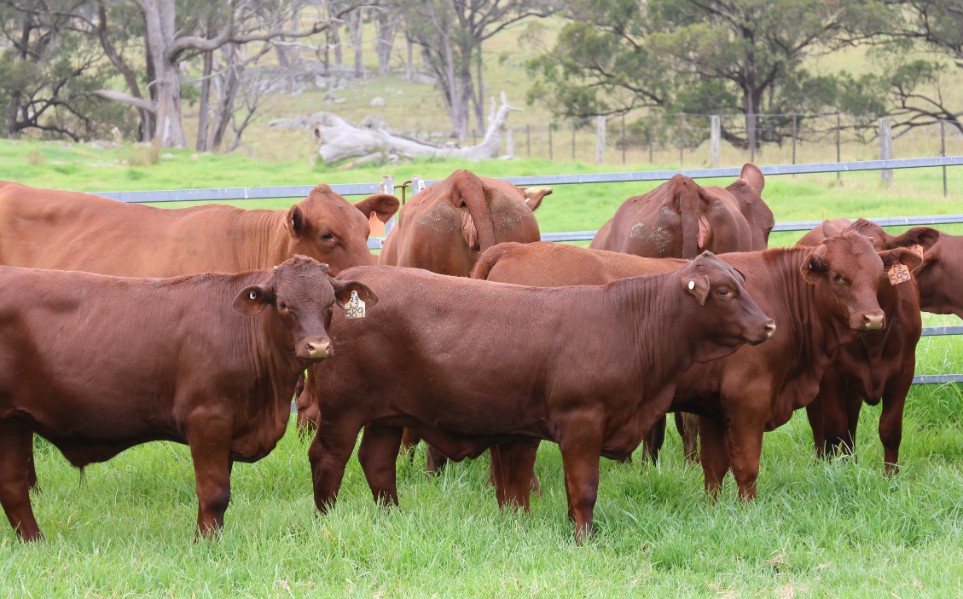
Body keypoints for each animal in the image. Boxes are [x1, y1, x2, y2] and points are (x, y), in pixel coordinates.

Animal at [0, 256, 377, 541]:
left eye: (329, 305)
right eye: (284, 304)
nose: (318, 346)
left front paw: (214, 538)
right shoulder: (208, 420)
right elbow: (215, 493)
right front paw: (206, 544)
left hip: (14, 422)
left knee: (14, 487)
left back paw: (35, 542)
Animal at [304, 252, 775, 542]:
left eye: (741, 283)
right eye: (724, 291)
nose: (769, 325)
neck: (625, 324)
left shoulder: (522, 429)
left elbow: (518, 488)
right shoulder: (581, 423)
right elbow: (582, 488)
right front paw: (585, 537)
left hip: (386, 415)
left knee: (377, 463)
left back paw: (392, 516)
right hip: (343, 410)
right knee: (328, 457)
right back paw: (325, 517)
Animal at [473, 233, 913, 506]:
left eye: (878, 276)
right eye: (838, 276)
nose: (873, 318)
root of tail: (512, 249)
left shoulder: (712, 406)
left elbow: (713, 467)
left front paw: (714, 509)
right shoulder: (748, 399)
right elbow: (746, 466)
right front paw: (749, 511)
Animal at [797, 219, 942, 470]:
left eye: (882, 263)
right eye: (837, 276)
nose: (872, 317)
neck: (874, 344)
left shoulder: (904, 372)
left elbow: (890, 429)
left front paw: (890, 475)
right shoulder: (830, 376)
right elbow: (834, 428)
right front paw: (835, 471)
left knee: (851, 420)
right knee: (818, 418)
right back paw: (821, 460)